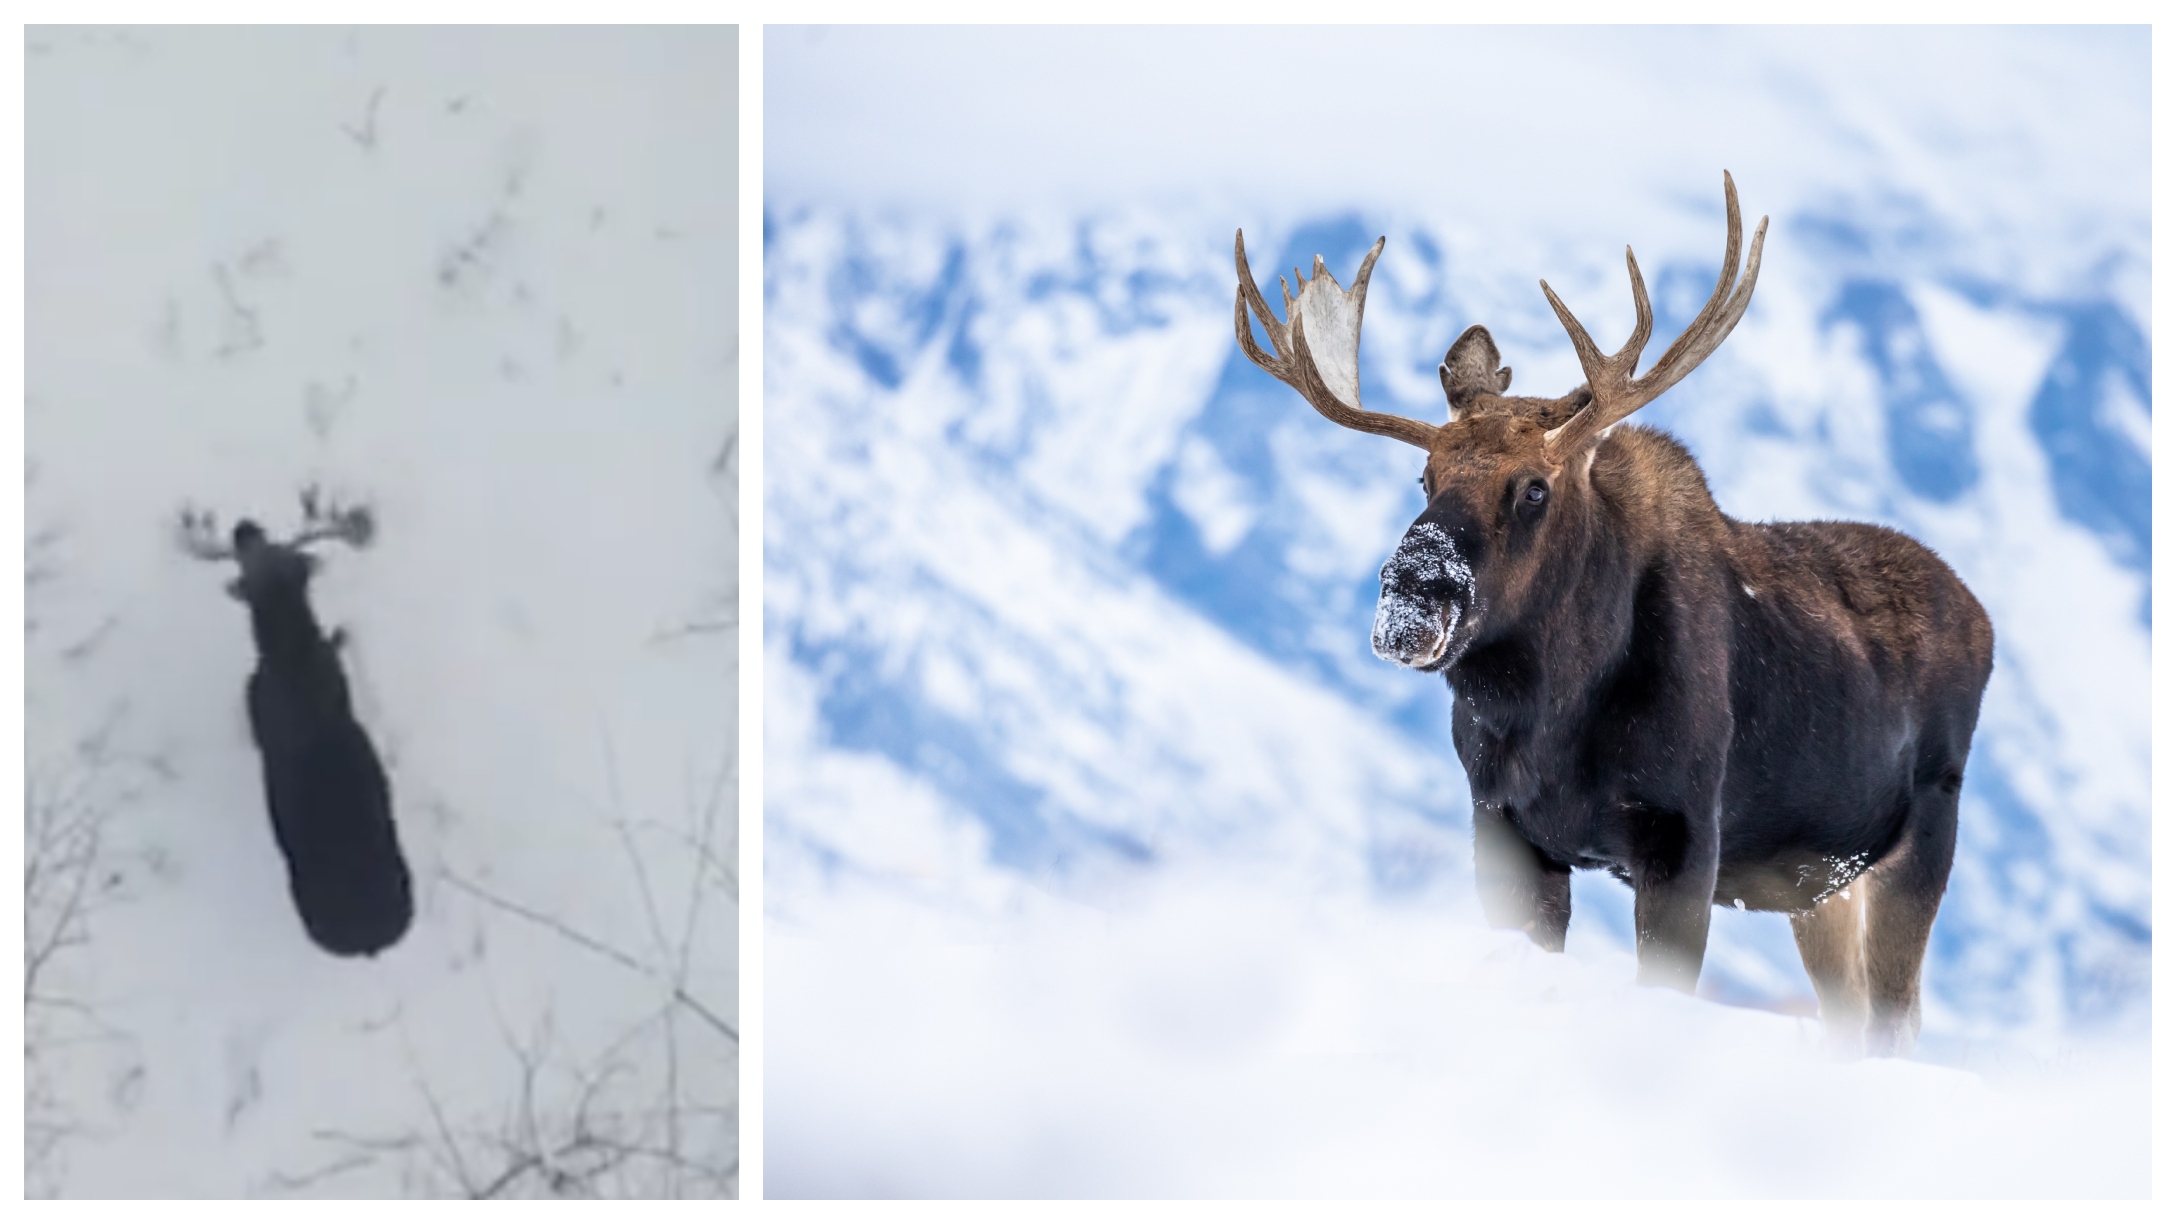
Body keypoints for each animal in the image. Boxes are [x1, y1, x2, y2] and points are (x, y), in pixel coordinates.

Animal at [177, 486, 413, 958]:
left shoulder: (253, 705)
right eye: (269, 546)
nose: (245, 526)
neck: (293, 657)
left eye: (256, 556)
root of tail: (371, 942)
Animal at [1233, 173, 1993, 1057]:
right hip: (1820, 886)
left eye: (1534, 488)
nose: (1410, 599)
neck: (1549, 715)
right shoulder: (1504, 828)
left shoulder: (1683, 836)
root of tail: (1983, 618)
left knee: (1895, 1021)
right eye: (1424, 478)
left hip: (1921, 838)